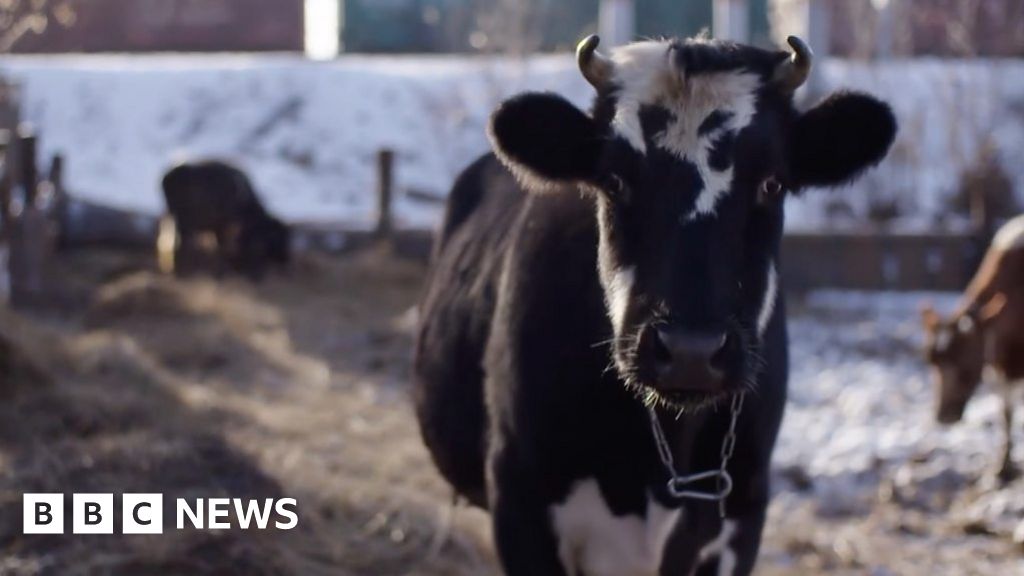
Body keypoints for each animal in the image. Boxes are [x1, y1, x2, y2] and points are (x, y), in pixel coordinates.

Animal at [160, 160, 290, 280]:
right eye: (278, 236)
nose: (284, 258)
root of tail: (166, 177)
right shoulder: (222, 227)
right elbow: (223, 248)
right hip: (182, 222)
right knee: (180, 243)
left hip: (173, 218)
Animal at [922, 214, 1024, 483]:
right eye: (931, 360)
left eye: (965, 363)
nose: (943, 417)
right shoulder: (1001, 368)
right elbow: (1006, 412)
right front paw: (1003, 467)